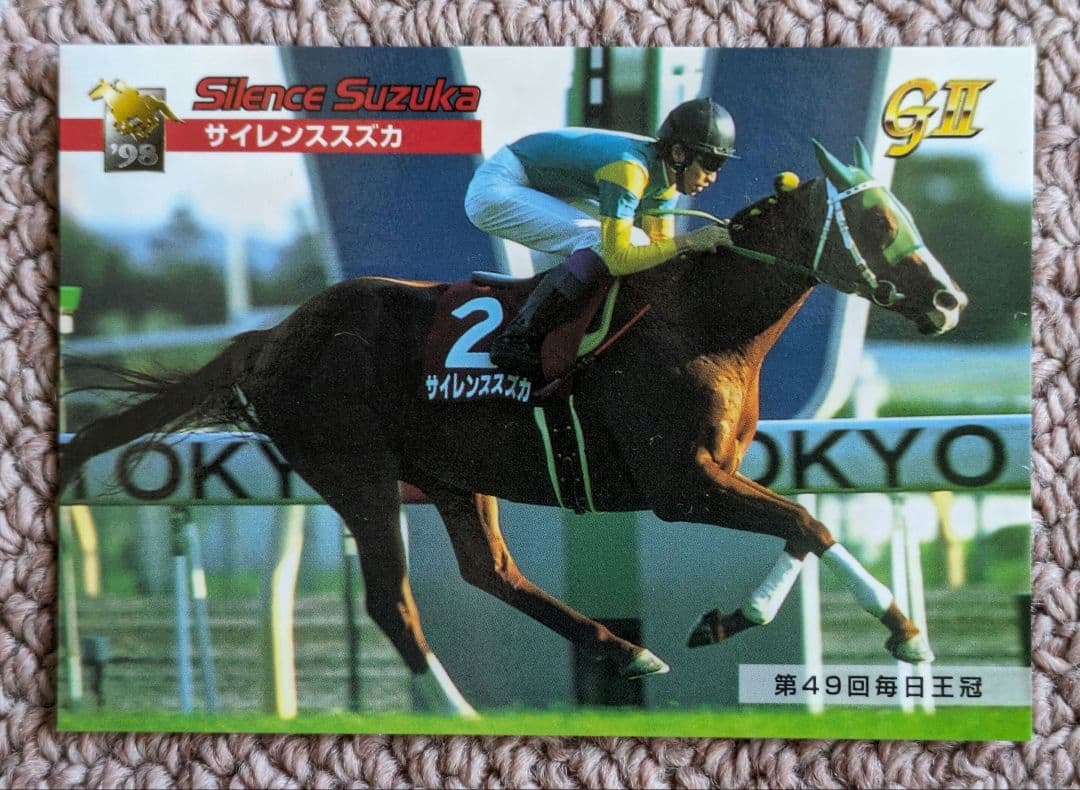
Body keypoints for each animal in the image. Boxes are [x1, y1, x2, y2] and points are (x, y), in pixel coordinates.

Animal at [60, 140, 967, 717]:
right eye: (880, 225)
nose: (948, 299)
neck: (701, 324)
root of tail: (274, 336)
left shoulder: (711, 475)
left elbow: (804, 527)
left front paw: (749, 621)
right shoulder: (679, 483)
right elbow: (808, 523)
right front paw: (897, 636)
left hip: (453, 477)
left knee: (492, 573)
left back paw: (624, 652)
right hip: (357, 472)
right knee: (392, 600)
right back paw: (458, 710)